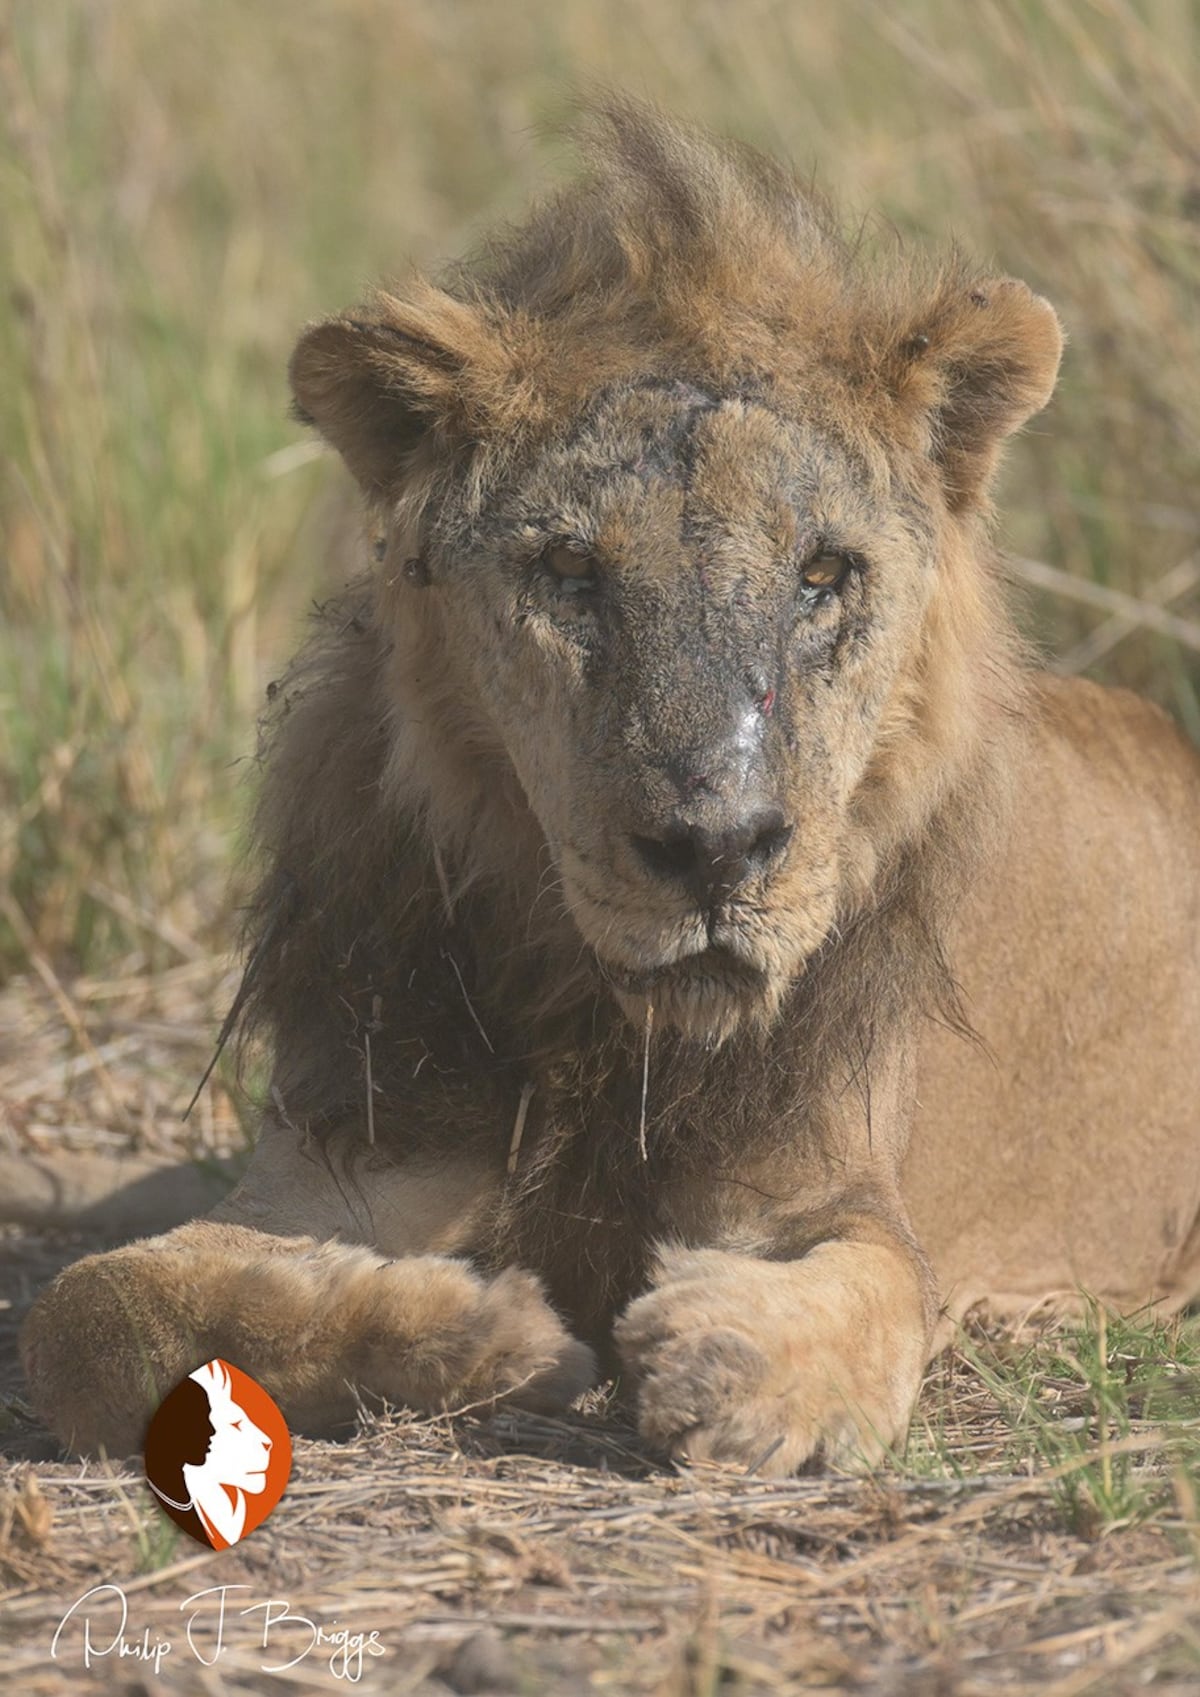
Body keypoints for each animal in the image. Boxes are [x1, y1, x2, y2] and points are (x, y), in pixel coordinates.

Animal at [20, 98, 1200, 1473]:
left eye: (823, 573)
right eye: (571, 570)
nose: (717, 849)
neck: (601, 1021)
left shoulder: (830, 1189)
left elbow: (878, 1295)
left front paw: (727, 1359)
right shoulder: (343, 1154)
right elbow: (91, 1309)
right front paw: (470, 1332)